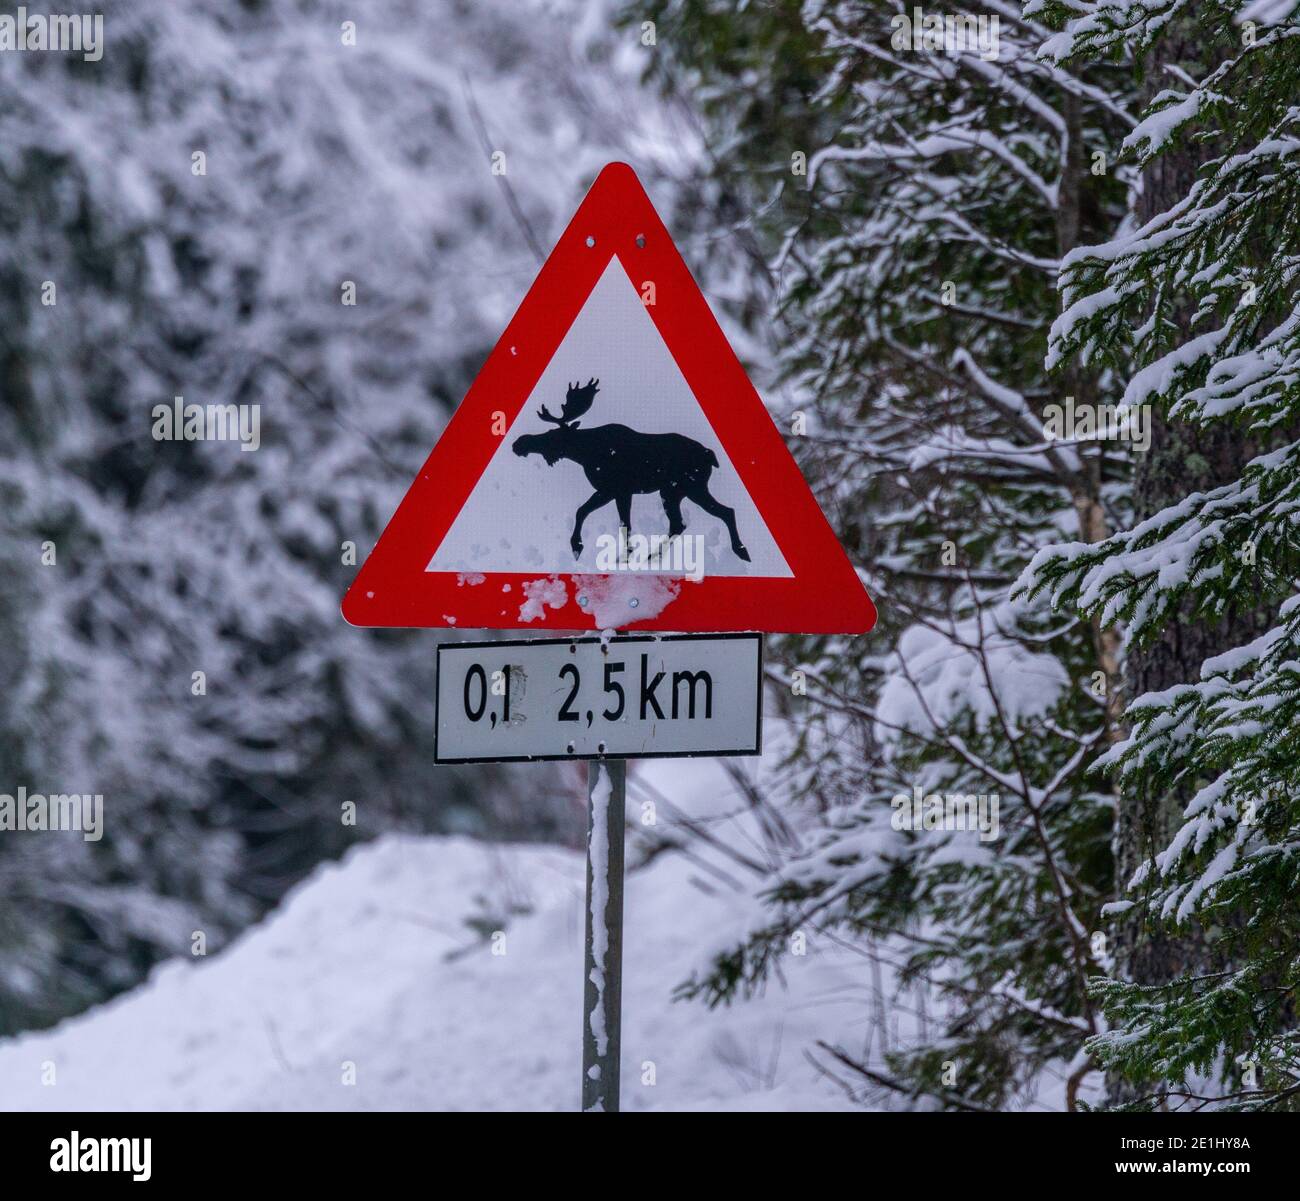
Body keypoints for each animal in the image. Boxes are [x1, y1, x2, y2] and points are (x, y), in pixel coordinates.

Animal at [512, 378, 751, 562]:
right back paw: (653, 556)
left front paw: (581, 547)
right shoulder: (615, 491)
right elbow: (608, 518)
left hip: (688, 488)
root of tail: (710, 455)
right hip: (676, 491)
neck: (586, 453)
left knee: (720, 513)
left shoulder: (615, 489)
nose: (519, 443)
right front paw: (622, 554)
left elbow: (598, 516)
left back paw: (741, 551)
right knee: (684, 522)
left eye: (552, 435)